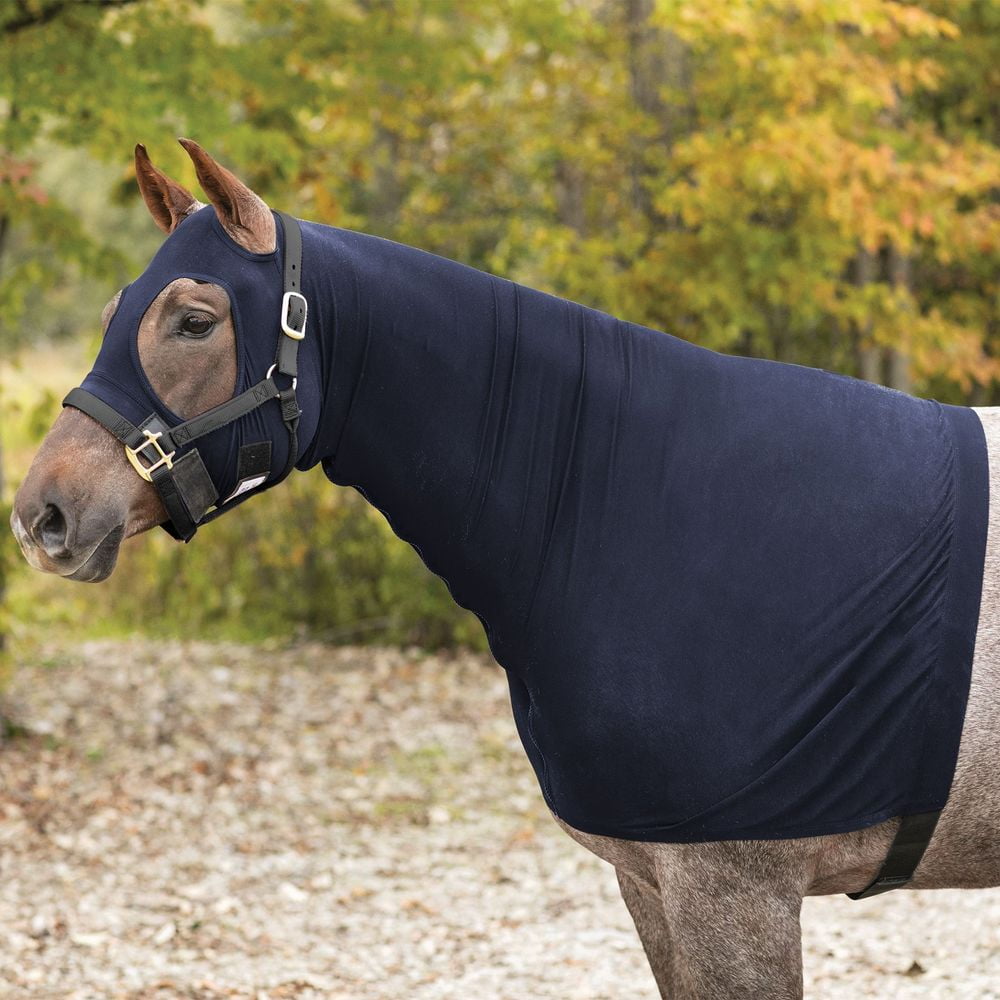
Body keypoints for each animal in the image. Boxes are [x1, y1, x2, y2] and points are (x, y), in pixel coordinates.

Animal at [11, 141, 1000, 999]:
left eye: (194, 321)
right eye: (113, 314)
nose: (41, 516)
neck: (627, 500)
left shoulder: (736, 893)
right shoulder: (655, 887)